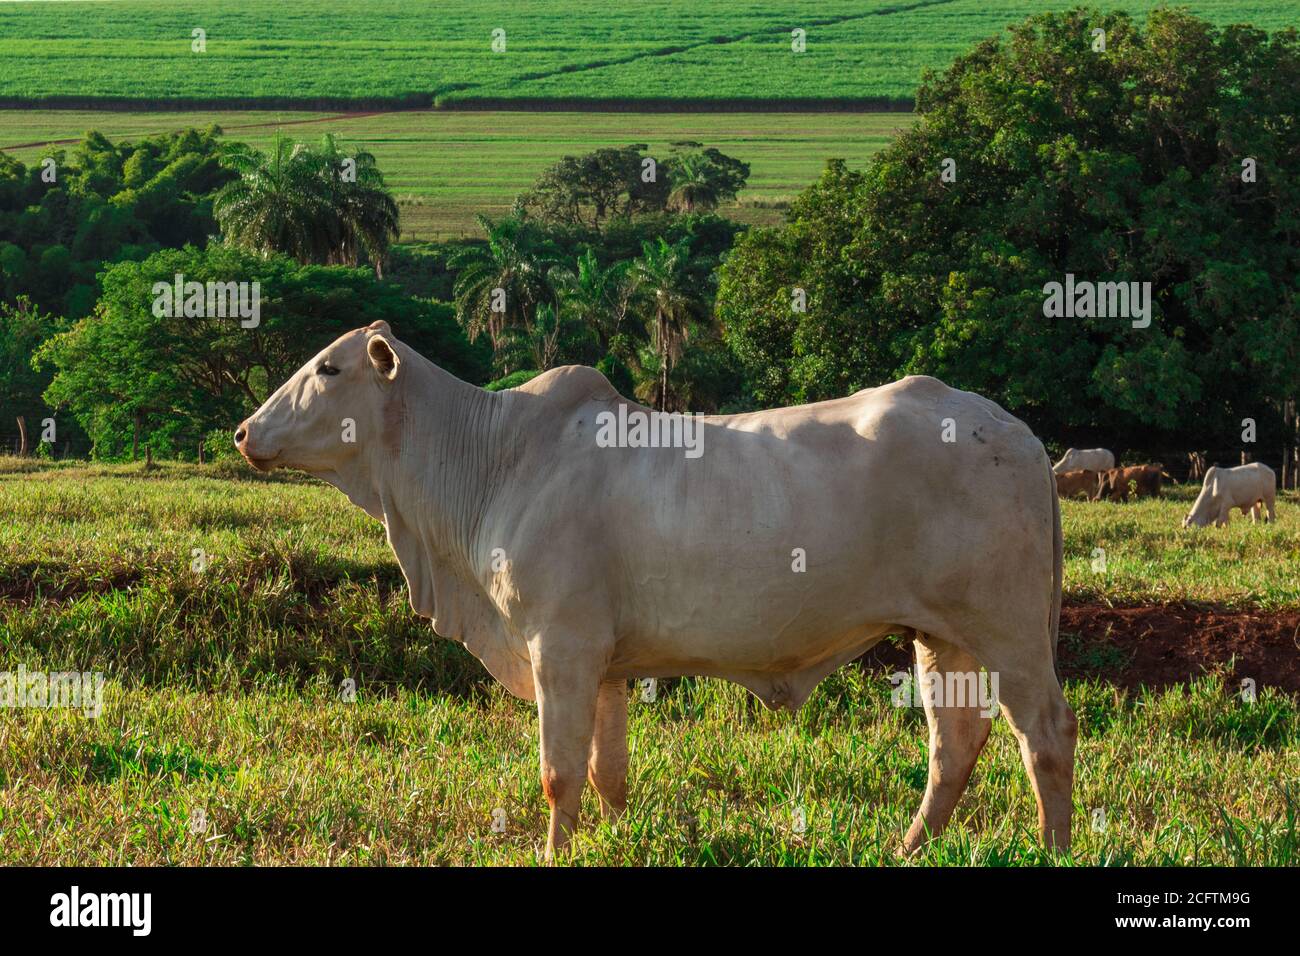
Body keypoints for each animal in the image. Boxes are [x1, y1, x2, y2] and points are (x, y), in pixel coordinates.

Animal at [234, 322, 1076, 859]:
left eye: (329, 369)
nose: (244, 432)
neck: (492, 458)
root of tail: (1019, 435)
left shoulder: (561, 647)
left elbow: (558, 774)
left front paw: (554, 852)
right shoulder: (605, 666)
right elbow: (606, 775)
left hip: (1010, 632)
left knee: (1045, 733)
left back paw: (1053, 847)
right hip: (945, 637)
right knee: (954, 746)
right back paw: (908, 848)